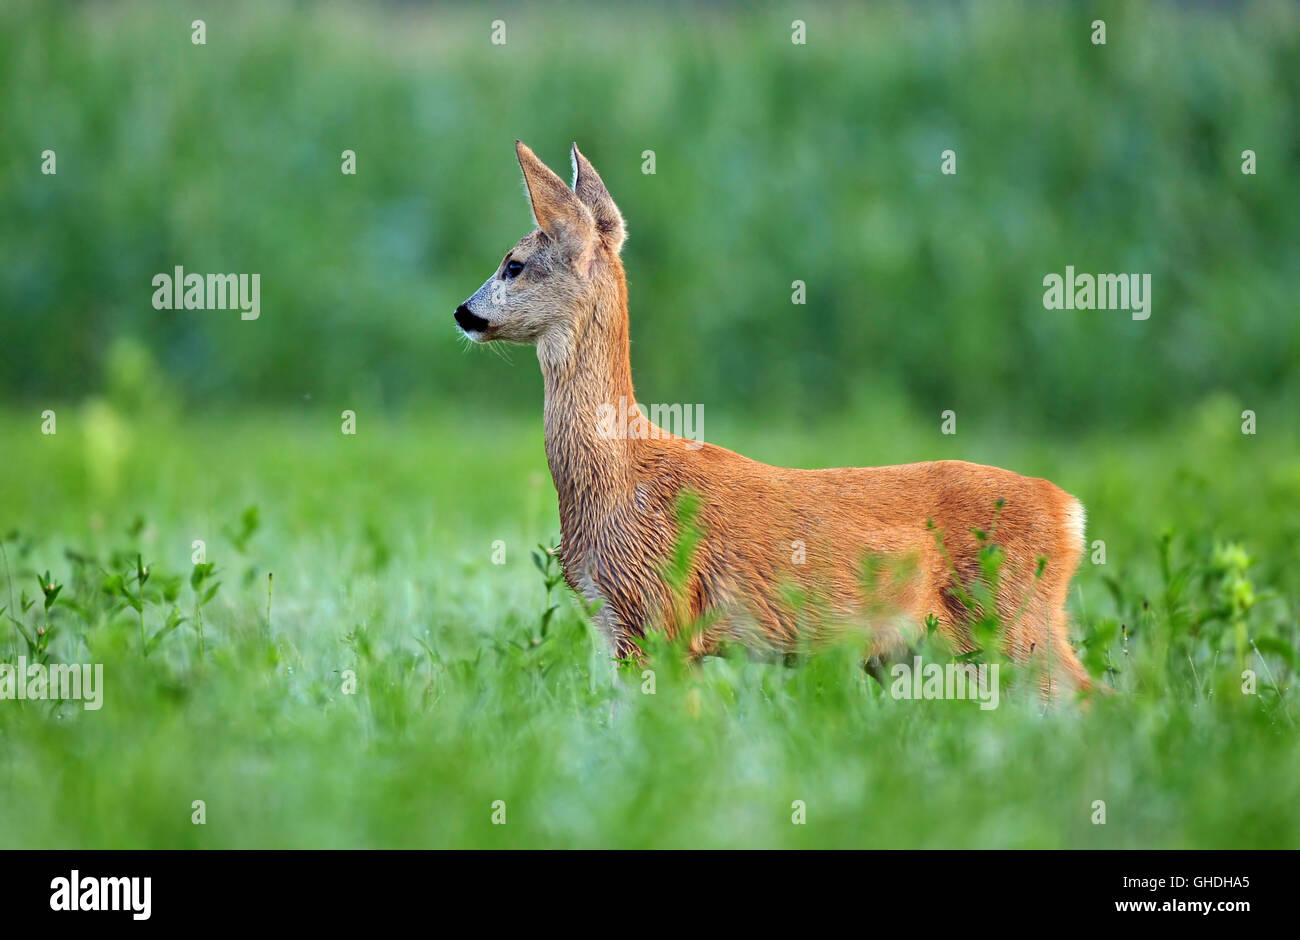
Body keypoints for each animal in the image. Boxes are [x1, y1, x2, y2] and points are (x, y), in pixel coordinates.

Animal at [454, 141, 1093, 698]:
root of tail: (1070, 514)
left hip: (1009, 623)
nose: (462, 312)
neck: (618, 473)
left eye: (513, 265)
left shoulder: (657, 613)